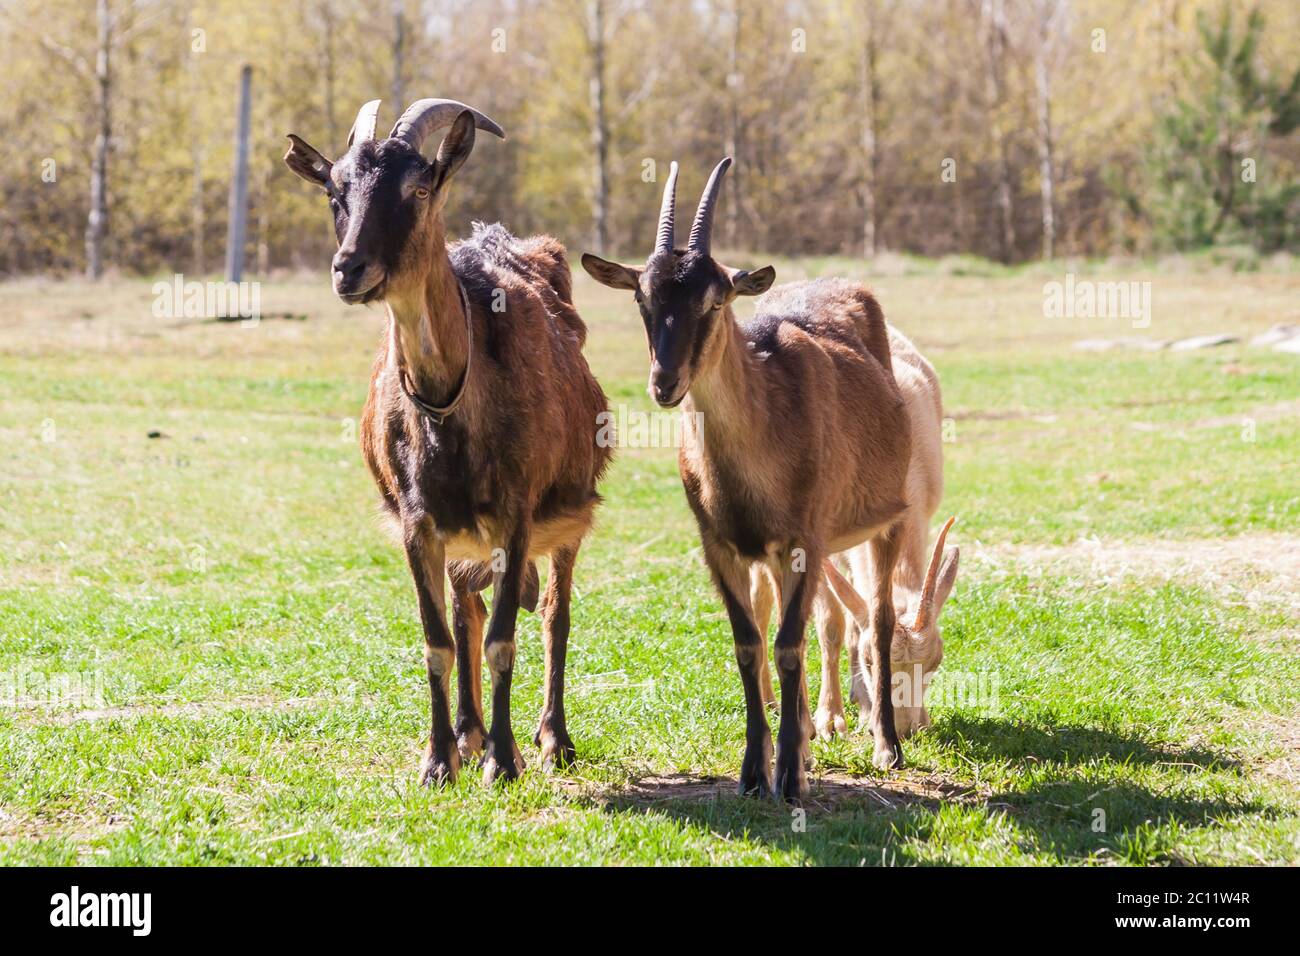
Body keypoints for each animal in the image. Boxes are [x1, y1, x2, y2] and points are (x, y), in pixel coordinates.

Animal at [285, 98, 612, 785]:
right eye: (334, 190)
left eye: (420, 187)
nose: (349, 269)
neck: (453, 402)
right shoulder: (419, 523)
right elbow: (439, 638)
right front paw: (440, 760)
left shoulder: (516, 516)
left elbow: (505, 639)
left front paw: (503, 763)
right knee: (470, 613)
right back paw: (469, 732)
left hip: (571, 515)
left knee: (554, 615)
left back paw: (550, 738)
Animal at [582, 158, 915, 800]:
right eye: (641, 296)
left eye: (716, 300)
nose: (664, 382)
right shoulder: (720, 542)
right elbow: (748, 644)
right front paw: (754, 771)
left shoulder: (805, 537)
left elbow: (786, 645)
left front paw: (788, 775)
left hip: (888, 518)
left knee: (881, 618)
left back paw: (886, 746)